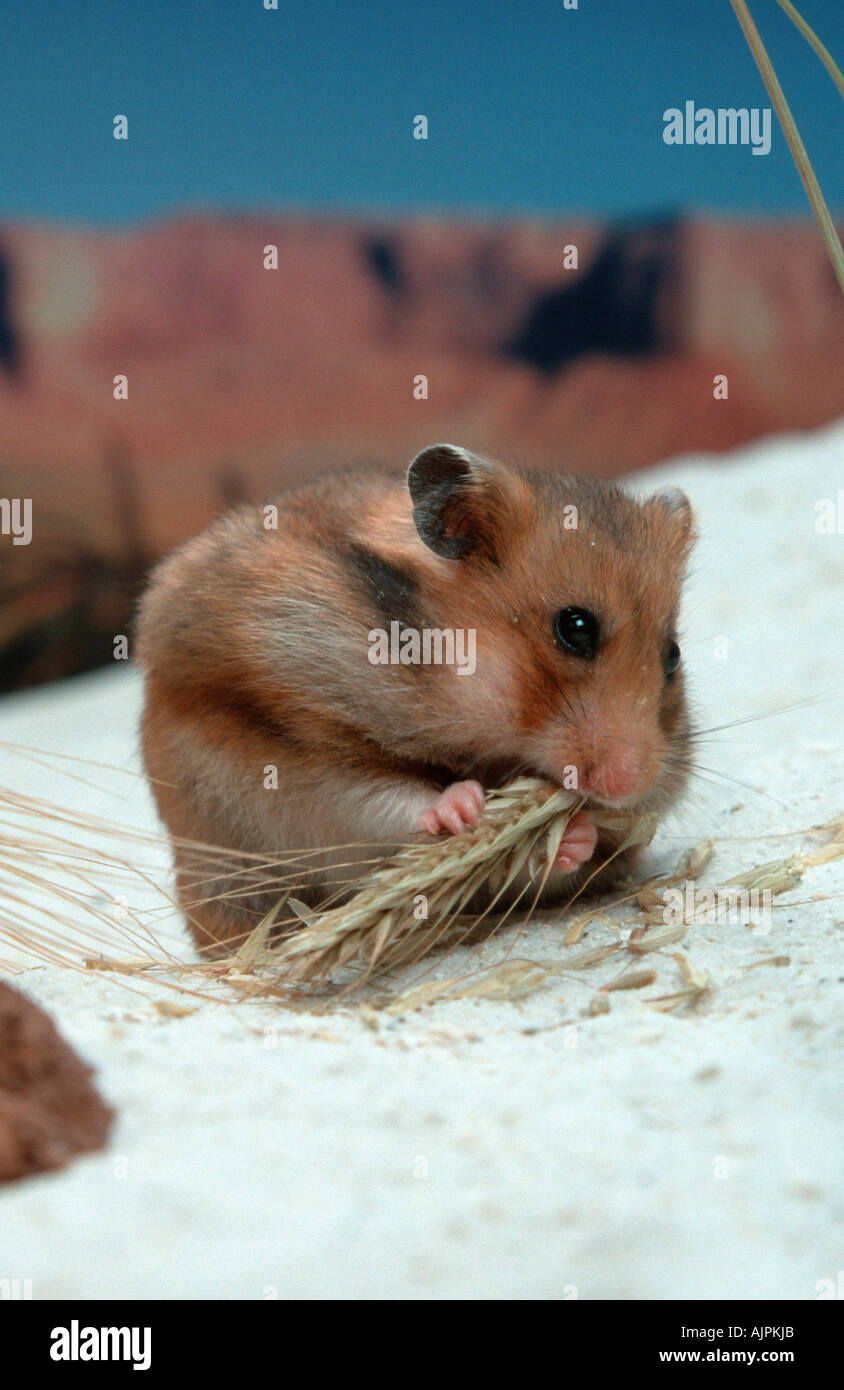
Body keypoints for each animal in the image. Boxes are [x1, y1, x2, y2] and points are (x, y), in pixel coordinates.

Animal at [136, 443, 696, 954]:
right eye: (575, 628)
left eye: (672, 654)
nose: (627, 787)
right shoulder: (299, 753)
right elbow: (384, 800)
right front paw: (465, 811)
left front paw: (574, 832)